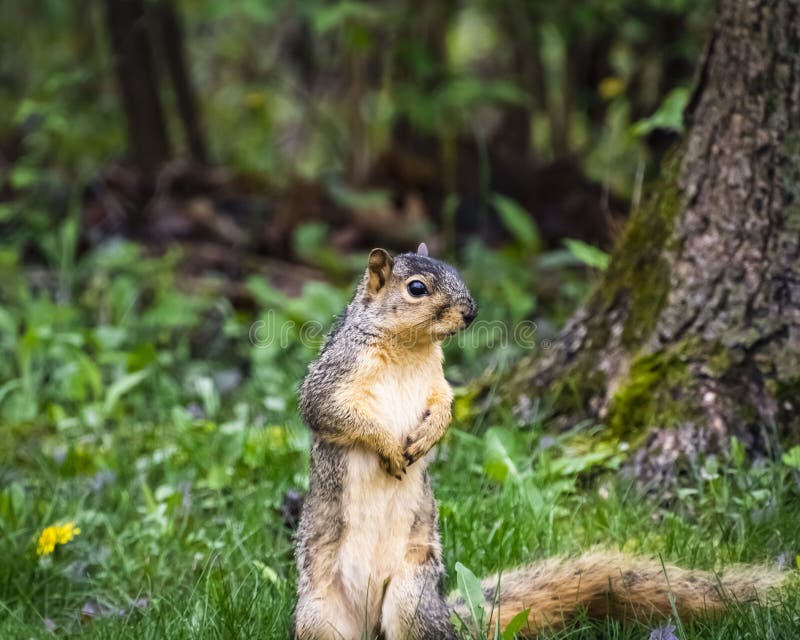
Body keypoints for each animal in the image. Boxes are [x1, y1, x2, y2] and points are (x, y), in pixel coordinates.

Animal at [293, 244, 785, 640]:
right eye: (417, 288)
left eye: (456, 271)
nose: (470, 312)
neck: (407, 349)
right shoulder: (333, 377)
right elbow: (327, 411)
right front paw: (391, 447)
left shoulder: (439, 383)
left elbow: (447, 408)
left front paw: (429, 436)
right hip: (321, 617)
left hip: (411, 597)